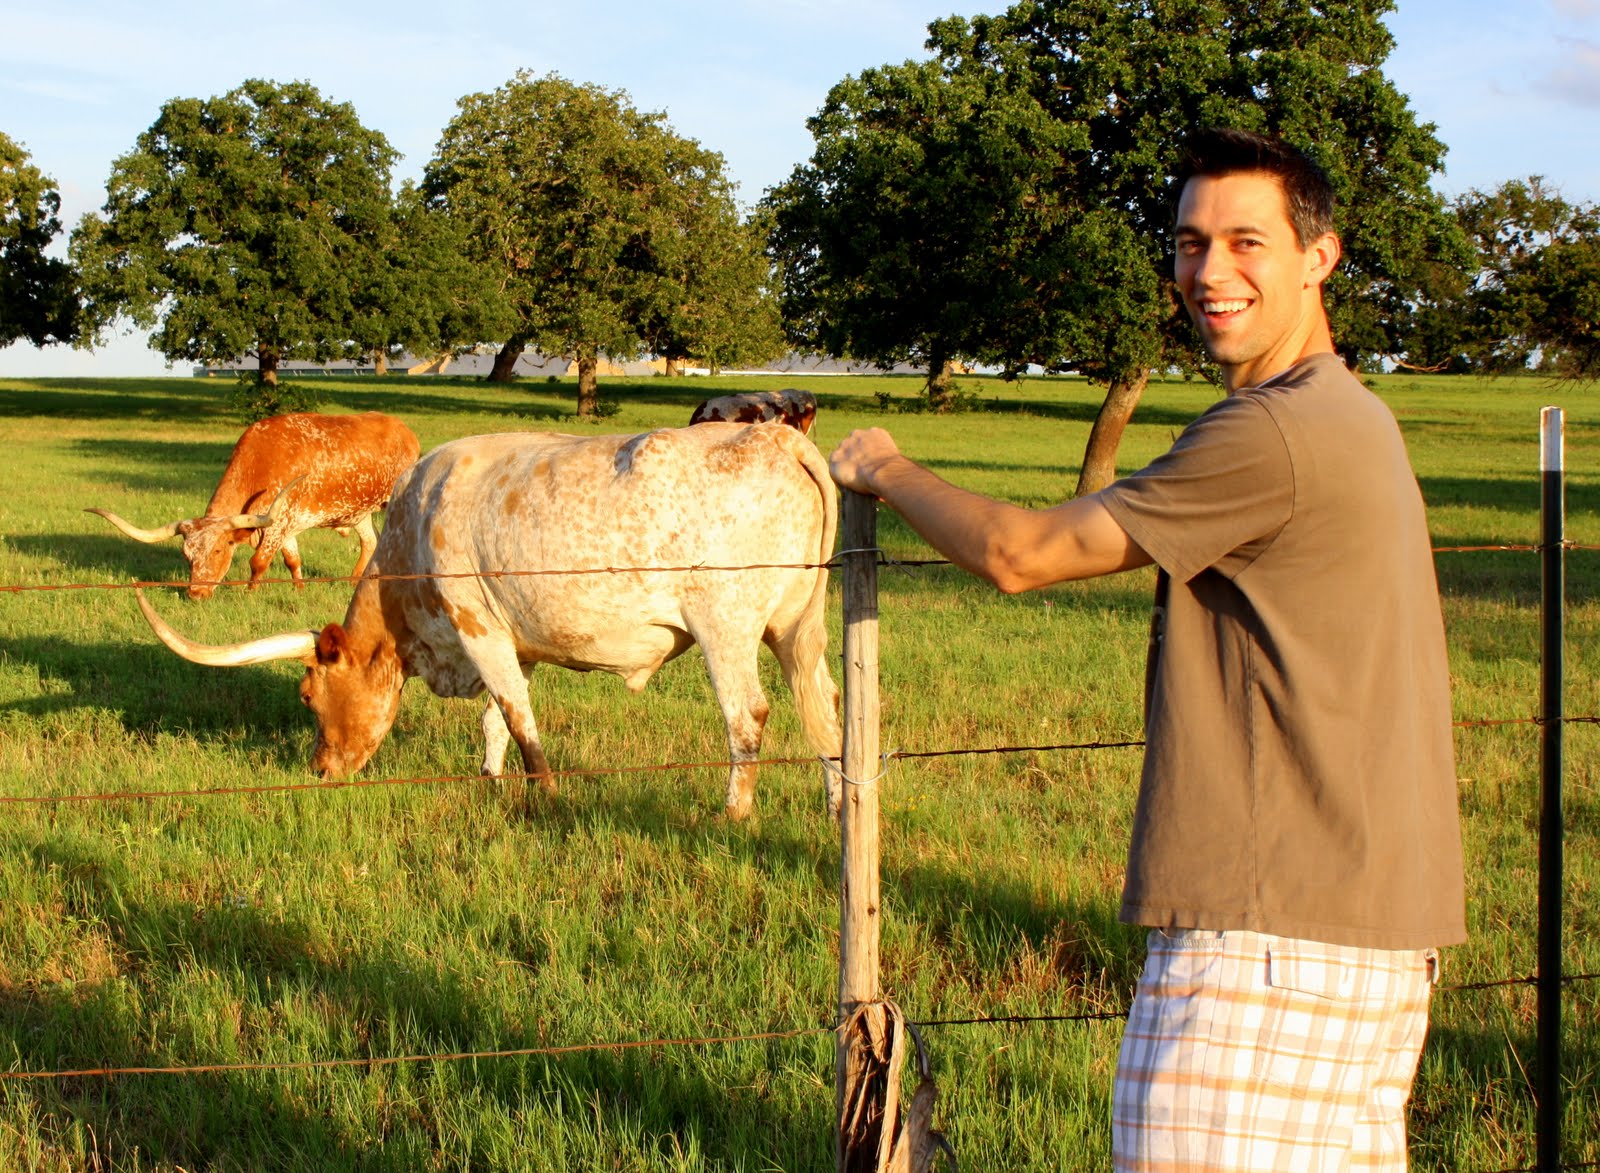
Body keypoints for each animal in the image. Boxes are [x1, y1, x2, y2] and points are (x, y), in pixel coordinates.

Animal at [89, 412, 420, 600]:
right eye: (186, 555)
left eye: (218, 551)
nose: (196, 593)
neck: (260, 461)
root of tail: (405, 431)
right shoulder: (286, 524)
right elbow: (292, 561)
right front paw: (300, 590)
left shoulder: (276, 522)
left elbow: (258, 561)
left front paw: (251, 593)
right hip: (359, 512)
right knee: (370, 542)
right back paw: (354, 581)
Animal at [133, 422, 844, 821]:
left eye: (308, 694)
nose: (320, 771)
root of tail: (777, 434)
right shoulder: (511, 636)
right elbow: (496, 719)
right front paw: (489, 779)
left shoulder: (477, 624)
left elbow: (520, 717)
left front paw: (547, 799)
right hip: (798, 629)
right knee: (827, 713)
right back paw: (840, 805)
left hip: (724, 626)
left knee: (747, 717)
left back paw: (734, 815)